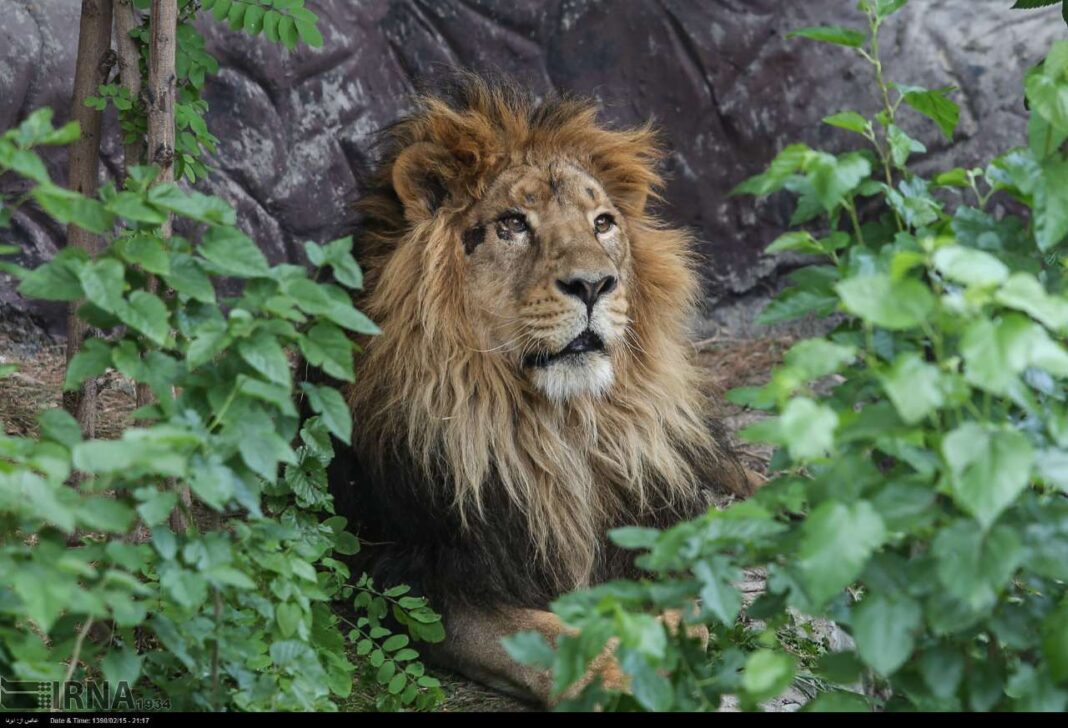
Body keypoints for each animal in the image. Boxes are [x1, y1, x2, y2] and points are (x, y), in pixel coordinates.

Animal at [328, 74, 757, 705]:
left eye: (602, 223)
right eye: (512, 224)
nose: (594, 285)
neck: (556, 428)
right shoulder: (421, 576)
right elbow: (534, 634)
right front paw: (617, 671)